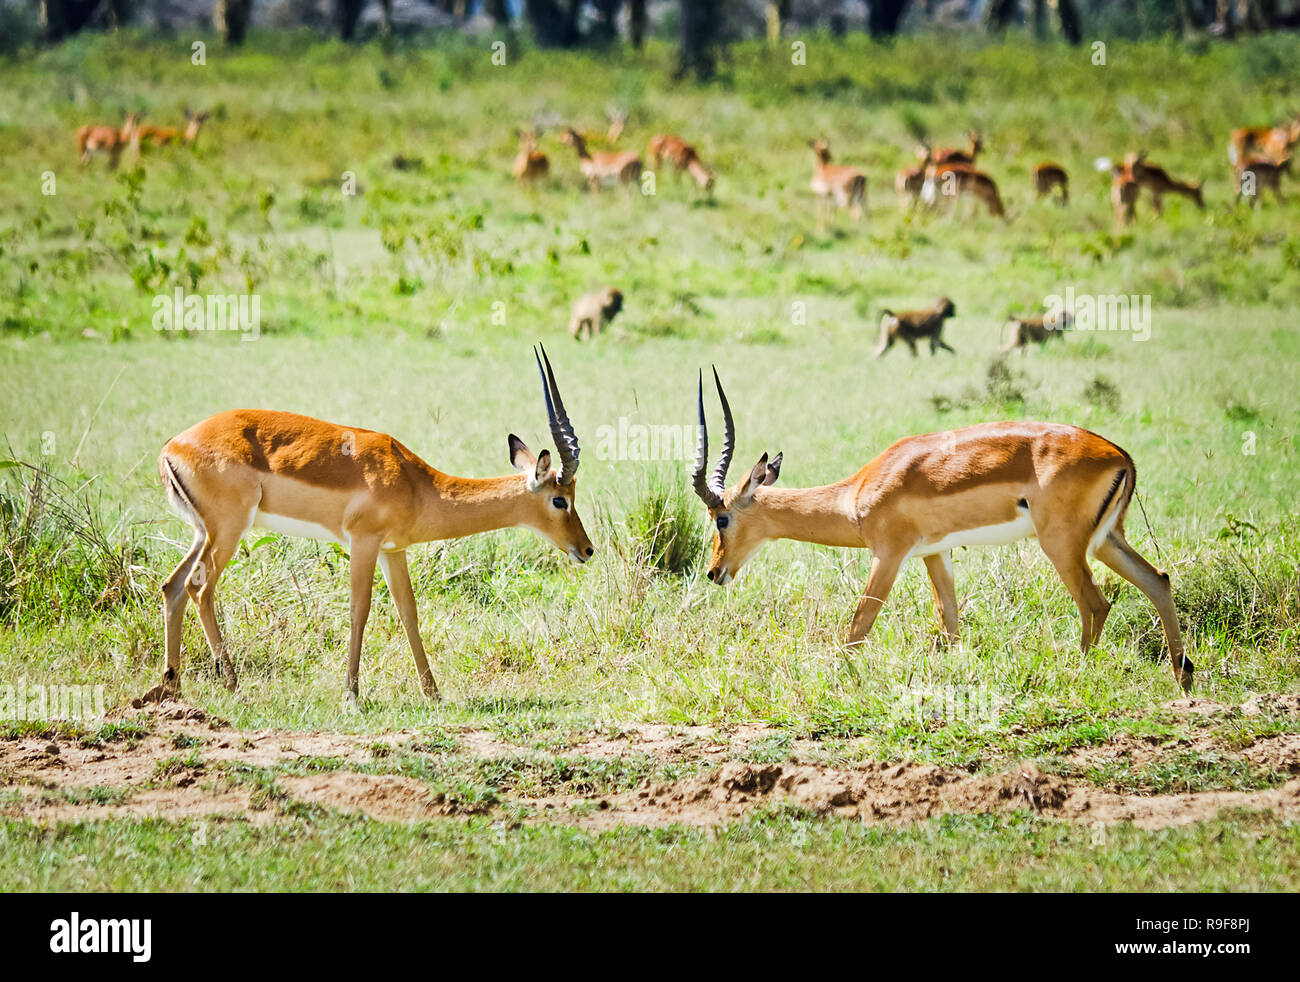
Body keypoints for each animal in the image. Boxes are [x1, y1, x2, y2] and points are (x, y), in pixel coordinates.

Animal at [146, 347, 593, 704]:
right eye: (560, 499)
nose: (587, 549)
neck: (416, 484)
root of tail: (173, 446)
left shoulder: (394, 550)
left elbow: (408, 612)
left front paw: (433, 693)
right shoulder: (363, 542)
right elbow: (359, 610)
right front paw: (352, 694)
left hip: (203, 532)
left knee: (173, 586)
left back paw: (171, 686)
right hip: (228, 530)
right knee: (199, 587)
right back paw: (233, 686)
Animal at [690, 371, 1191, 691]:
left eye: (721, 518)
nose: (714, 572)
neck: (857, 493)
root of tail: (1118, 454)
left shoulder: (888, 556)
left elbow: (860, 622)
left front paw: (833, 677)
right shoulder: (935, 554)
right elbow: (949, 619)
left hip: (1063, 546)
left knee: (1096, 603)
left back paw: (1078, 675)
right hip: (1107, 540)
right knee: (1158, 580)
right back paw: (1182, 677)